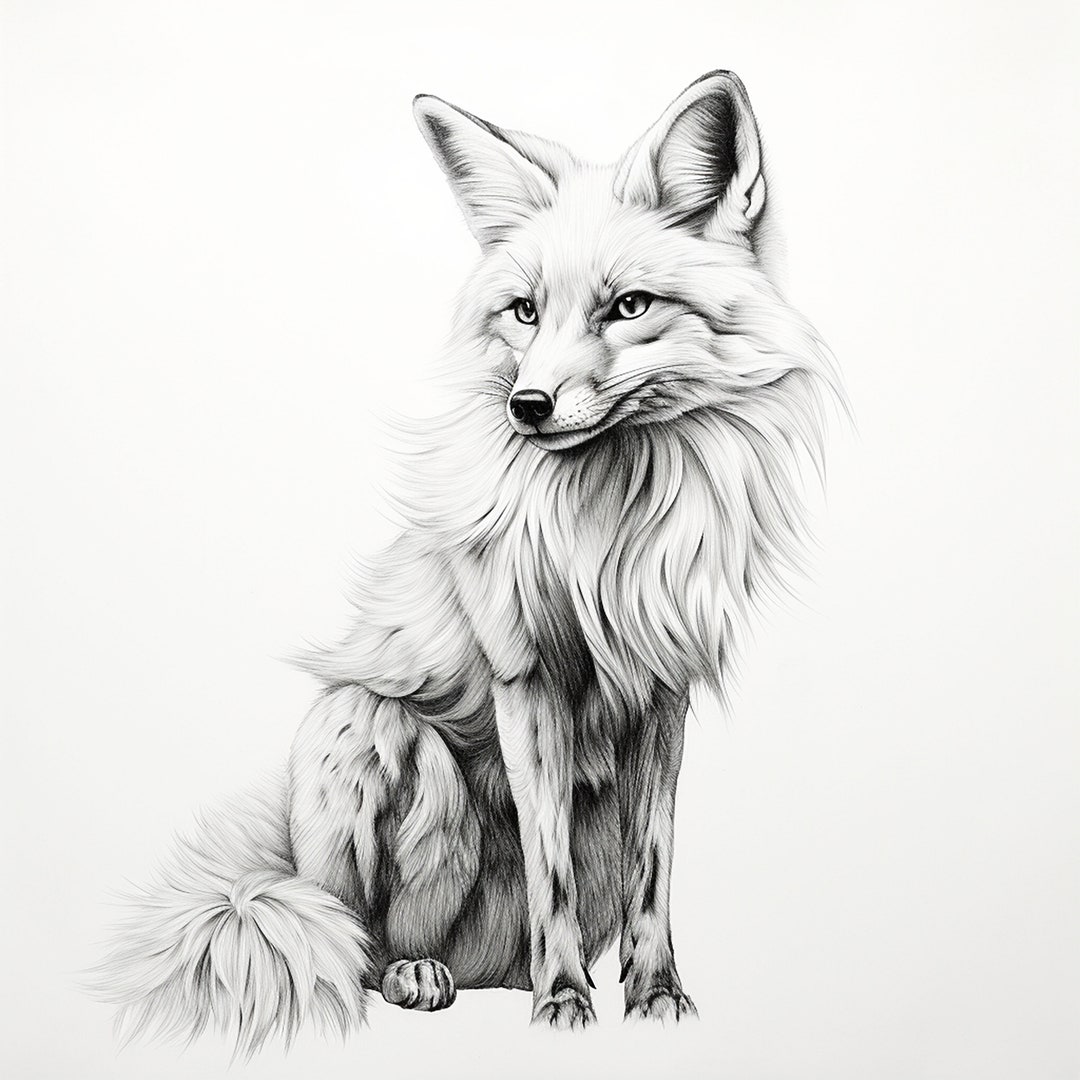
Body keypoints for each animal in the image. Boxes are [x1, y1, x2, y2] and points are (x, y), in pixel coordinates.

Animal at [94, 70, 842, 1054]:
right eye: (524, 311)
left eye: (629, 307)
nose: (529, 405)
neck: (610, 531)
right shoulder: (524, 677)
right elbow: (547, 863)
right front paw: (564, 1003)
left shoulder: (664, 692)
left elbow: (656, 868)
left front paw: (656, 994)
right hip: (360, 724)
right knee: (349, 943)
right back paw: (425, 972)